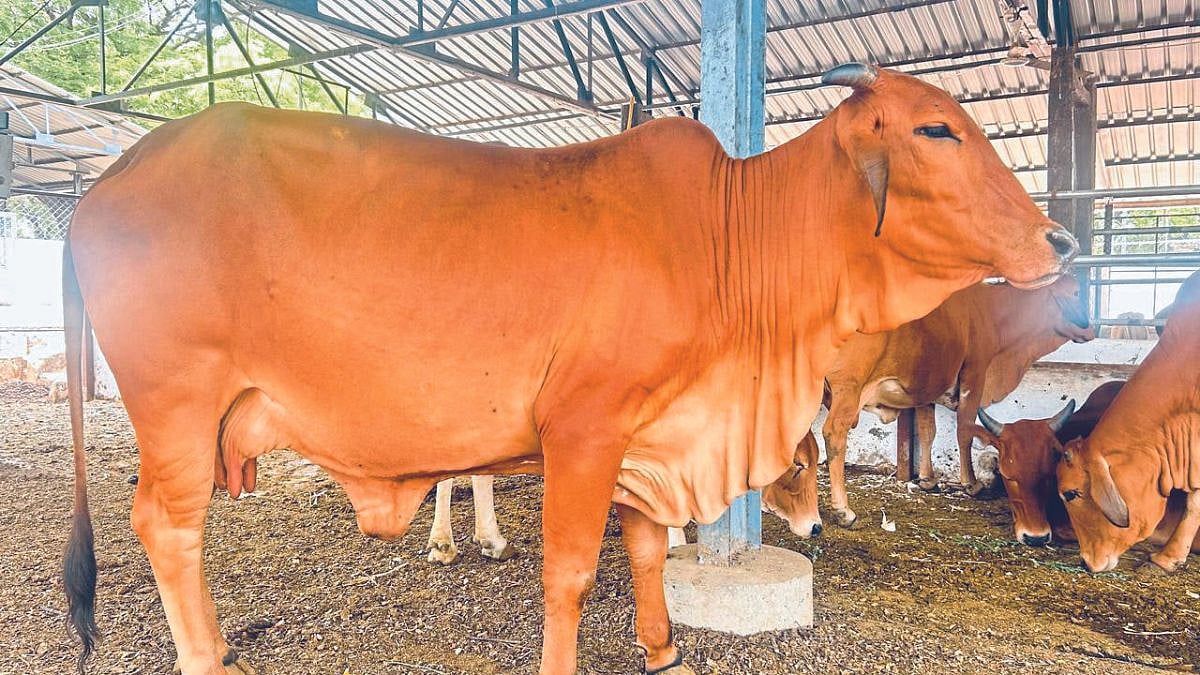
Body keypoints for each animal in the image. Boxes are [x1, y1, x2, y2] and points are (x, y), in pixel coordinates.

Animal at [766, 276, 1092, 530]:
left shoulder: (927, 389)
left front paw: (927, 478)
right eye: (1077, 291)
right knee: (834, 434)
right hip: (849, 388)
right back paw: (843, 510)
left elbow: (927, 431)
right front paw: (971, 483)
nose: (1090, 328)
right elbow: (964, 430)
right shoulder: (974, 373)